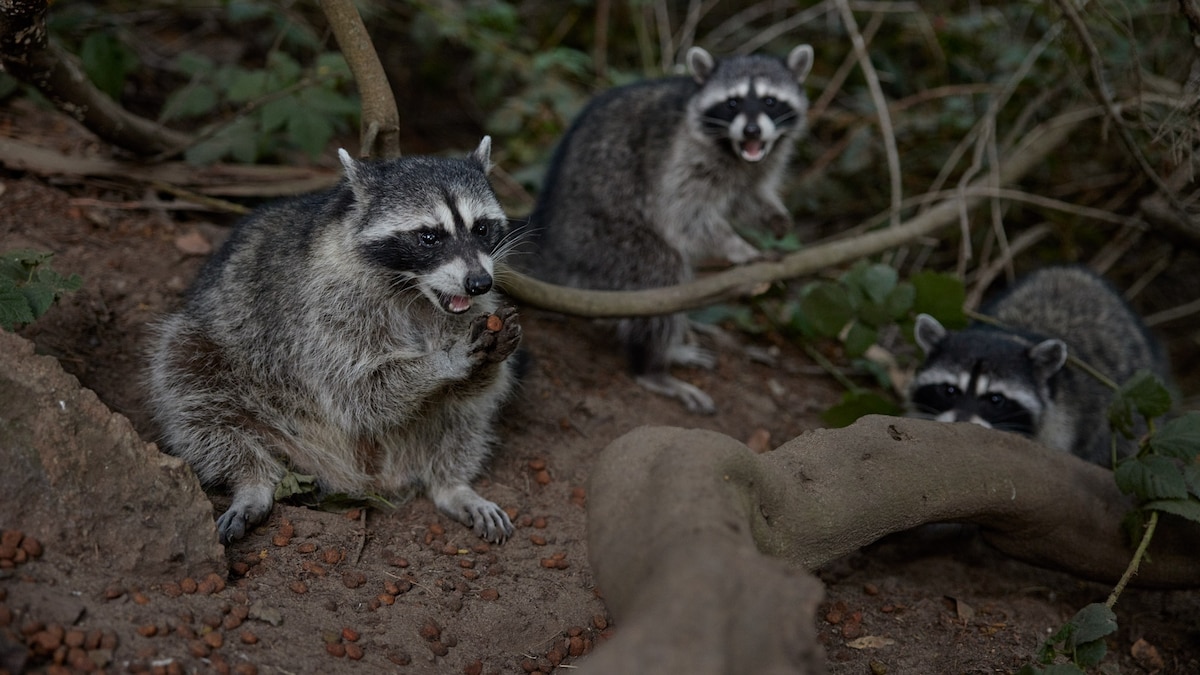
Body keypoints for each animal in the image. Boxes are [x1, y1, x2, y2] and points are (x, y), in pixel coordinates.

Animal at [147, 138, 522, 545]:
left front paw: (486, 362)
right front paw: (444, 358)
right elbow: (358, 391)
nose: (479, 282)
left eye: (481, 228)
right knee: (190, 384)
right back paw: (251, 479)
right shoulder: (326, 304)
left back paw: (450, 484)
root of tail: (368, 476)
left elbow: (471, 390)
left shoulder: (474, 308)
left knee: (464, 416)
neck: (415, 291)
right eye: (429, 237)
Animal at [522, 45, 814, 414]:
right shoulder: (681, 156)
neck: (736, 153)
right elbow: (686, 214)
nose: (751, 131)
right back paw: (652, 367)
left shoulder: (761, 162)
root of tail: (551, 234)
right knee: (659, 277)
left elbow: (749, 195)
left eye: (770, 101)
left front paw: (774, 217)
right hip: (602, 234)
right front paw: (737, 246)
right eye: (732, 103)